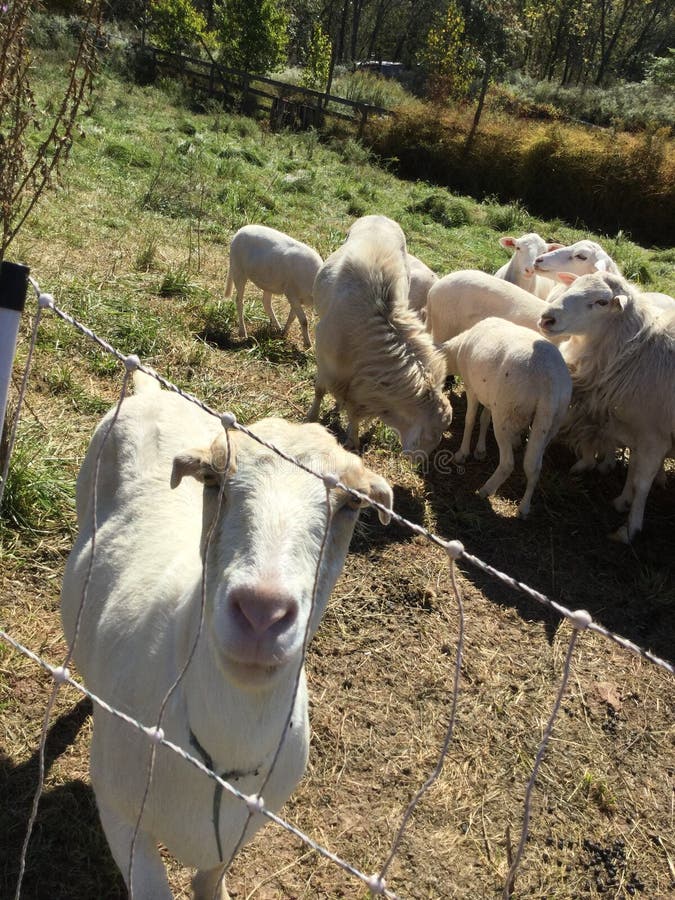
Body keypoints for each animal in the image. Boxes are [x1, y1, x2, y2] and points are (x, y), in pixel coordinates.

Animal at [60, 372, 393, 900]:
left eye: (351, 503)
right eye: (213, 480)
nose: (261, 612)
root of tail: (151, 388)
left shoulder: (247, 826)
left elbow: (210, 878)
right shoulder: (121, 815)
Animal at [307, 214, 453, 456]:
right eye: (431, 434)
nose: (418, 460)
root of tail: (380, 216)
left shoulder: (362, 383)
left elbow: (354, 411)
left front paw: (352, 439)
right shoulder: (325, 358)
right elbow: (320, 389)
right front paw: (312, 416)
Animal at [442, 318, 572, 517]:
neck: (458, 349)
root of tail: (548, 380)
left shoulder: (472, 389)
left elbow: (470, 420)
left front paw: (462, 453)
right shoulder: (490, 398)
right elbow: (484, 419)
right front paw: (480, 450)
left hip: (506, 411)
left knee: (508, 463)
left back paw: (486, 489)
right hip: (552, 420)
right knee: (534, 466)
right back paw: (524, 508)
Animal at [538, 271, 675, 542]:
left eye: (601, 302)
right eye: (573, 284)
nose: (547, 317)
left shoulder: (654, 435)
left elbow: (642, 481)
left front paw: (631, 528)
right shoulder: (635, 429)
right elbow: (633, 470)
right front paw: (622, 500)